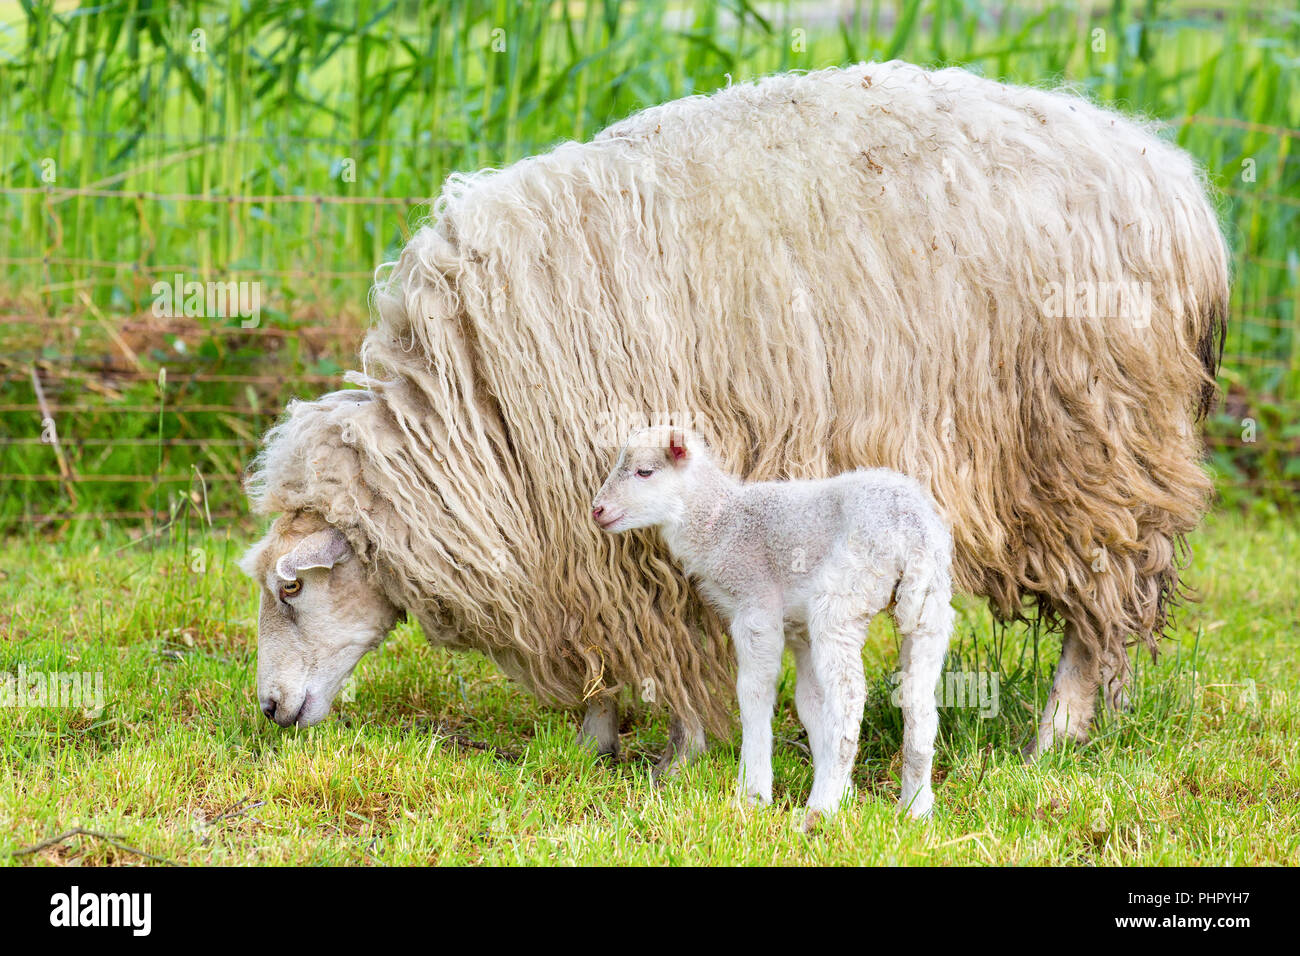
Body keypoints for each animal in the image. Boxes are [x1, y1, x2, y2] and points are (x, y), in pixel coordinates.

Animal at [246, 59, 1228, 762]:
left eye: (293, 587)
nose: (269, 709)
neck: (473, 412)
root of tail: (1174, 183)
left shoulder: (620, 503)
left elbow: (654, 627)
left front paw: (671, 750)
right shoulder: (571, 525)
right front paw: (600, 741)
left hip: (1089, 447)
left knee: (1101, 603)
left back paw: (1054, 737)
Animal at [592, 427, 954, 818]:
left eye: (644, 471)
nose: (597, 510)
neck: (720, 522)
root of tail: (911, 529)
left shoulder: (756, 605)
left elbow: (754, 692)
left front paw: (753, 793)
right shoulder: (799, 630)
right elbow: (810, 704)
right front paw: (846, 793)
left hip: (843, 597)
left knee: (849, 699)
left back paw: (819, 812)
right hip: (931, 603)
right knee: (918, 701)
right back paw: (915, 809)